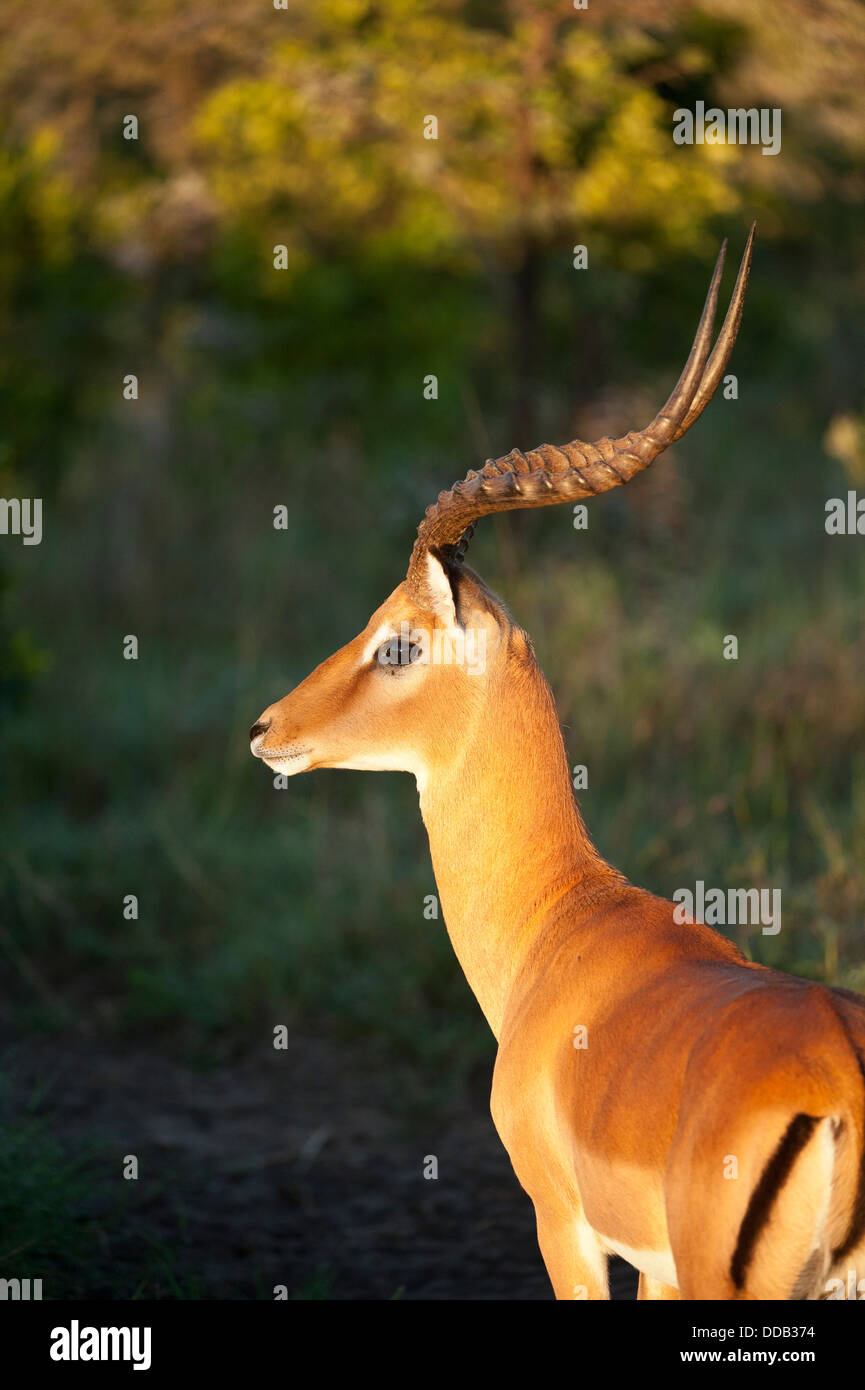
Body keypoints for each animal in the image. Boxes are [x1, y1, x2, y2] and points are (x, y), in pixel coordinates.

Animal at [250, 226, 865, 1300]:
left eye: (397, 642)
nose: (266, 727)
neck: (565, 923)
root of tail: (836, 1079)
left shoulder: (564, 1227)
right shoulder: (654, 1267)